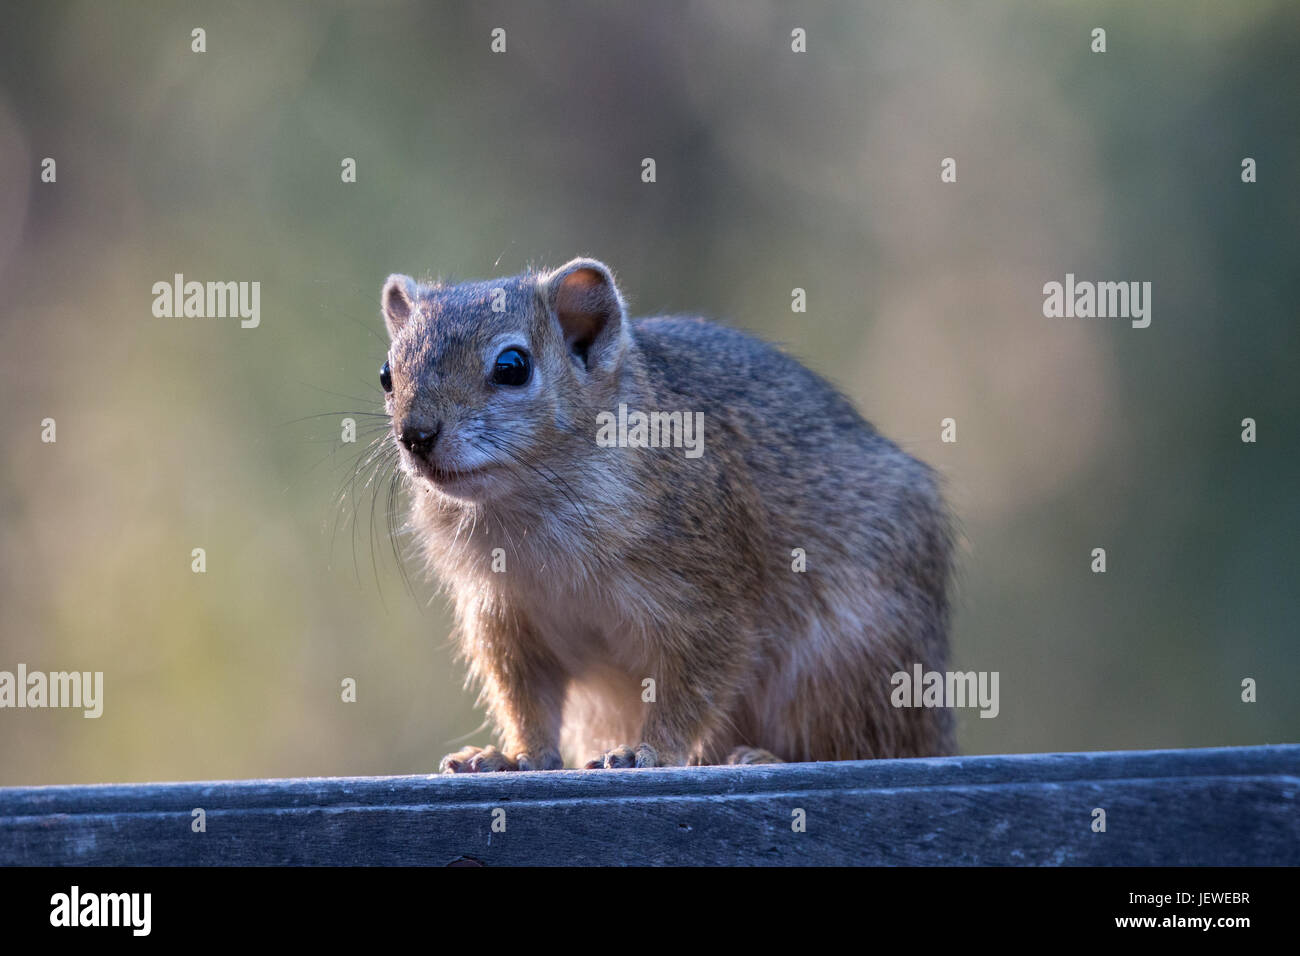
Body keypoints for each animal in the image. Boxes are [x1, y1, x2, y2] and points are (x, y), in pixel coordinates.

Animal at [377, 257, 954, 771]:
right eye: (387, 373)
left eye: (512, 366)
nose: (416, 435)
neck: (525, 507)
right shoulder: (506, 618)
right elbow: (525, 698)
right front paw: (514, 756)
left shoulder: (705, 598)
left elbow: (694, 682)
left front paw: (649, 751)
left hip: (852, 662)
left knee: (860, 741)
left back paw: (765, 755)